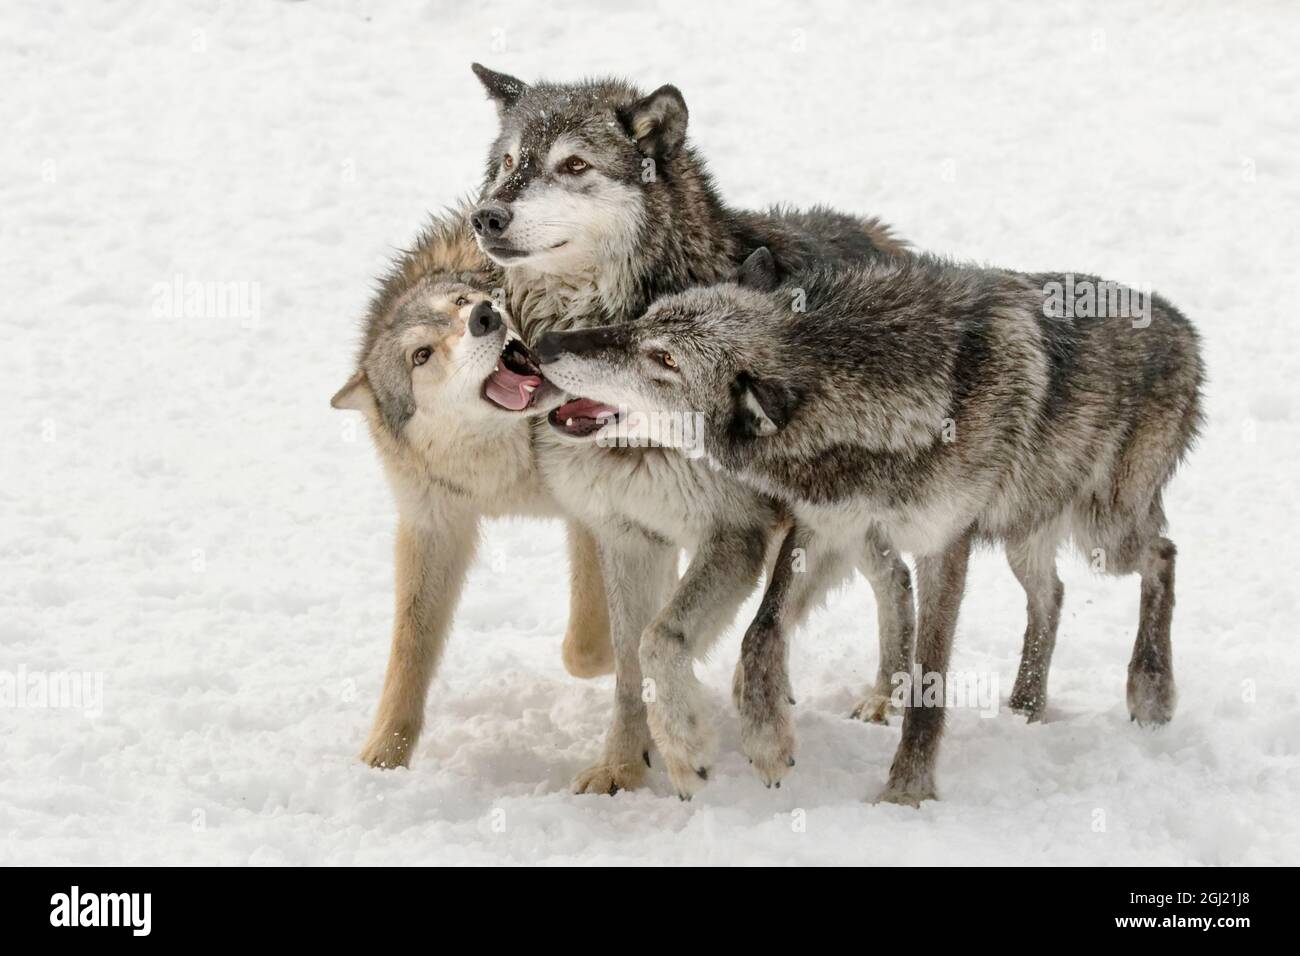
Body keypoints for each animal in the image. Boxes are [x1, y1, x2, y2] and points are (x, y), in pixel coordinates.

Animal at [330, 210, 613, 770]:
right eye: (421, 355)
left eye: (461, 303)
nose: (484, 316)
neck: (511, 472)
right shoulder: (433, 527)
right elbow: (409, 650)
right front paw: (383, 759)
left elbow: (585, 650)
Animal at [468, 64, 909, 798]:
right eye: (506, 165)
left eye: (574, 165)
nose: (486, 216)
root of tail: (886, 238)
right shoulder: (627, 534)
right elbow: (628, 662)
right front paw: (623, 765)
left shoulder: (740, 531)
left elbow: (666, 638)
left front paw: (691, 749)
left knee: (890, 577)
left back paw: (880, 699)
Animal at [534, 247, 1205, 804]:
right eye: (645, 320)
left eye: (664, 360)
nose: (545, 344)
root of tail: (1182, 325)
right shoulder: (821, 525)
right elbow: (761, 631)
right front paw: (768, 740)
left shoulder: (944, 546)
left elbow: (929, 686)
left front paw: (906, 792)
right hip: (1019, 535)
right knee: (1053, 594)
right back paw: (1025, 705)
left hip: (1103, 535)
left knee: (1164, 554)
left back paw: (1150, 690)